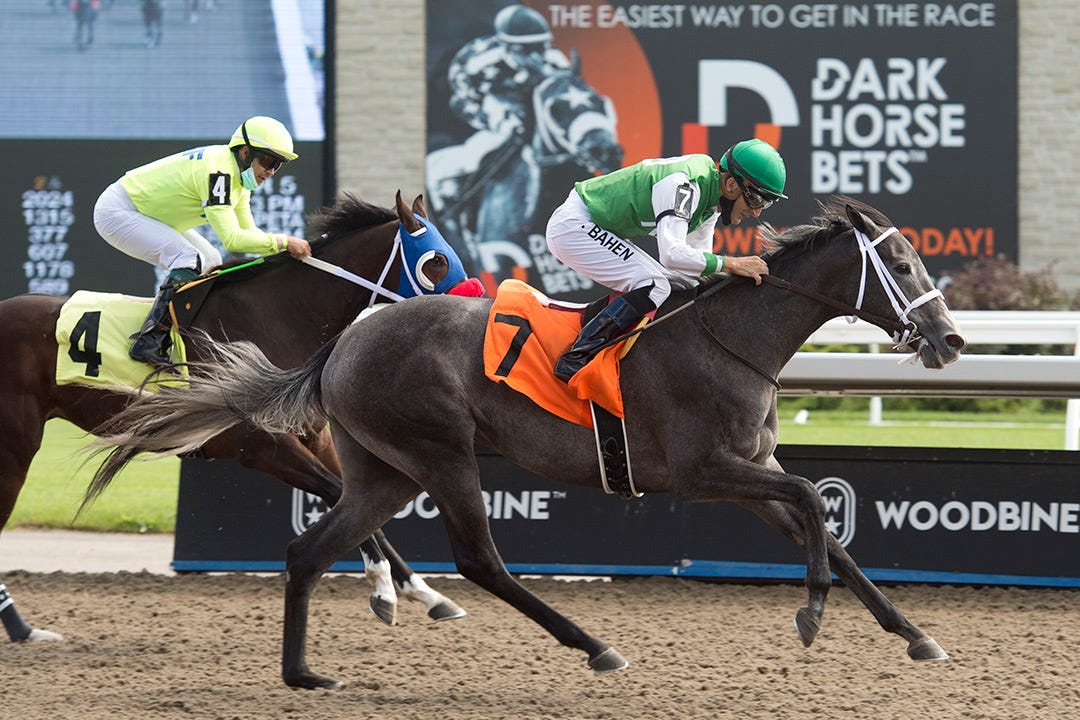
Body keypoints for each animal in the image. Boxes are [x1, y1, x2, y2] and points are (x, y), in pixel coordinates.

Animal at [0, 191, 470, 644]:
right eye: (436, 260)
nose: (465, 316)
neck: (279, 319)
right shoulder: (262, 446)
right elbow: (340, 497)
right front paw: (384, 590)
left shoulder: (314, 438)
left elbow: (359, 505)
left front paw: (428, 595)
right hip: (15, 447)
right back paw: (22, 628)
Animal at [86, 197, 967, 689]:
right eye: (898, 261)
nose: (951, 339)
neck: (728, 338)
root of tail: (344, 339)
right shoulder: (707, 471)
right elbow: (816, 501)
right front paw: (812, 612)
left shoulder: (752, 468)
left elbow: (828, 528)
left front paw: (915, 635)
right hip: (440, 453)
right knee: (479, 559)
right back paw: (595, 648)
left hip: (383, 469)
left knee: (313, 549)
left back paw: (303, 672)